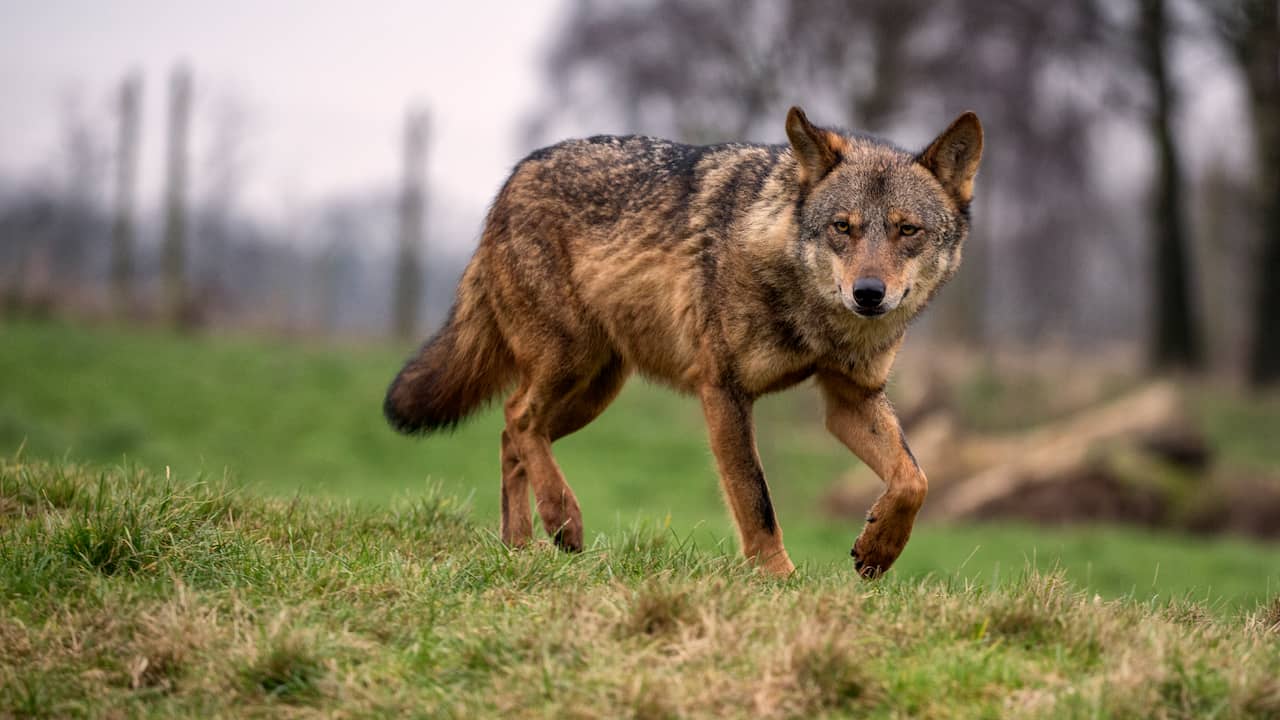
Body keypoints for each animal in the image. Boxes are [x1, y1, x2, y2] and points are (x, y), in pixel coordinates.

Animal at [384, 107, 982, 578]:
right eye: (843, 227)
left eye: (907, 231)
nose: (868, 294)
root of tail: (512, 178)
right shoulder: (723, 391)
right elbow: (756, 499)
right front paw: (779, 580)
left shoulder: (850, 399)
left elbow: (914, 478)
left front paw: (878, 549)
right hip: (568, 366)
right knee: (518, 416)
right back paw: (561, 519)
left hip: (594, 391)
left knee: (512, 433)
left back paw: (519, 547)